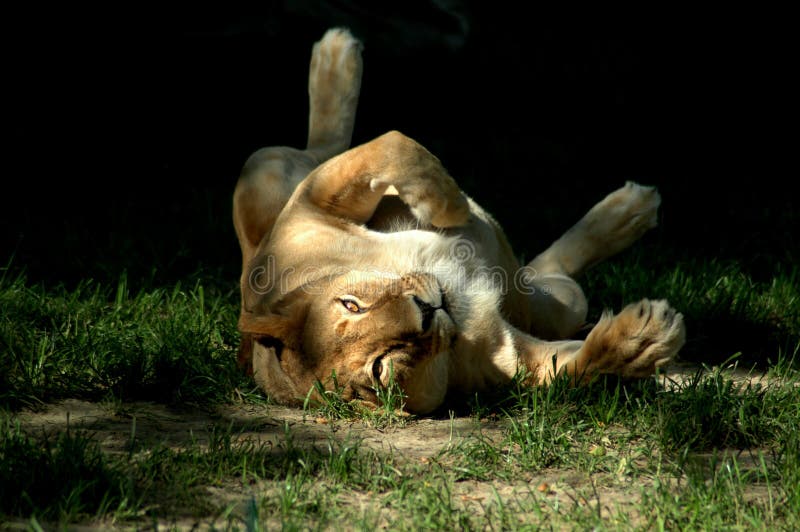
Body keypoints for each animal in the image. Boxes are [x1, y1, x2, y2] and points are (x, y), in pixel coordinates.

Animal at [232, 28, 685, 414]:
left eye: (352, 304)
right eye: (380, 368)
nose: (425, 310)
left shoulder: (311, 207)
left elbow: (395, 146)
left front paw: (449, 208)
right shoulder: (517, 363)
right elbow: (579, 368)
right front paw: (644, 341)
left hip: (264, 168)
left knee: (324, 147)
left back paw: (335, 52)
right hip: (554, 303)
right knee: (548, 277)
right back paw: (632, 210)